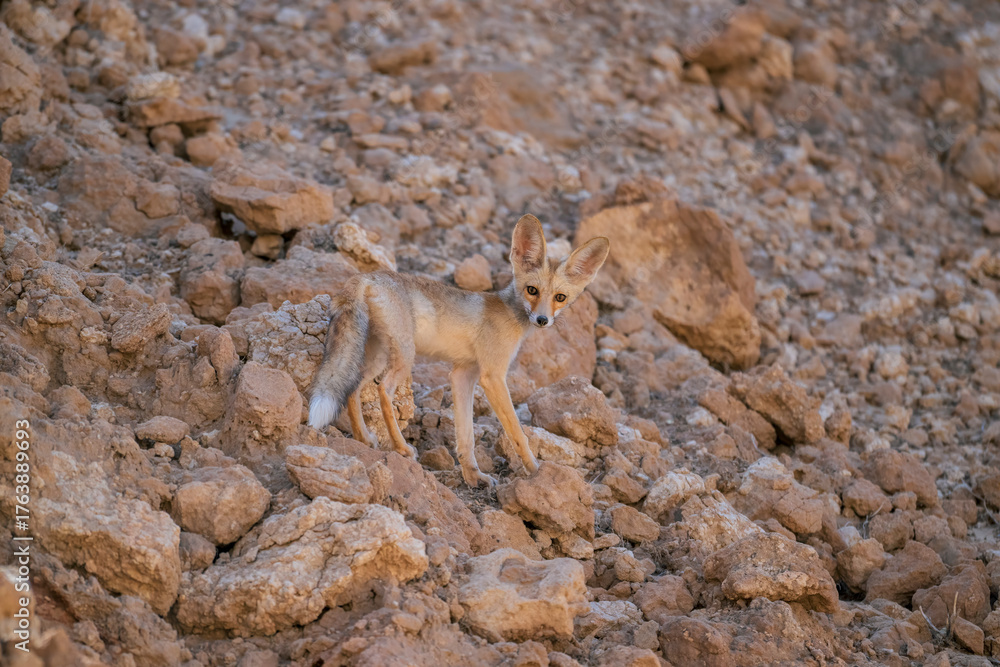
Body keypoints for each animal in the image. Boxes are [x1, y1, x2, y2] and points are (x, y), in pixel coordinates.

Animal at [307, 214, 610, 487]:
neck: (510, 314)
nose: (543, 320)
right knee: (384, 391)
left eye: (560, 297)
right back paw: (402, 448)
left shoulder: (464, 374)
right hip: (404, 356)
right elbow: (517, 432)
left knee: (352, 390)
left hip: (377, 357)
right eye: (532, 290)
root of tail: (367, 276)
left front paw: (473, 476)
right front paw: (537, 472)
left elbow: (466, 436)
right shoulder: (492, 376)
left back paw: (363, 439)